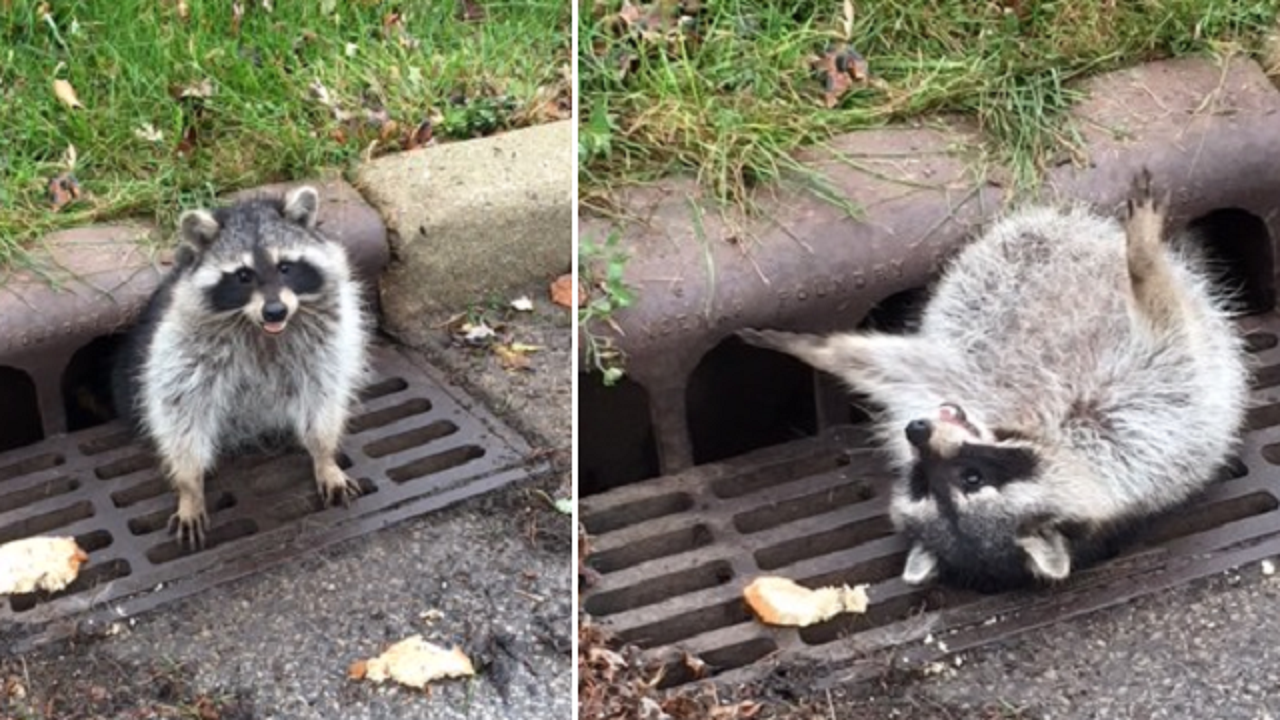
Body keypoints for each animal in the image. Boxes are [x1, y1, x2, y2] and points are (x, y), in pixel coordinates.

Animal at [111, 186, 372, 549]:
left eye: (286, 267)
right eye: (243, 276)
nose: (275, 311)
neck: (260, 328)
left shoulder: (324, 344)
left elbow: (322, 396)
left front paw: (324, 456)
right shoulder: (180, 348)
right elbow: (180, 413)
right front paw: (189, 485)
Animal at [738, 170, 1250, 591]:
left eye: (971, 477)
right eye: (926, 484)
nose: (916, 431)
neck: (1032, 427)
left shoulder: (1134, 419)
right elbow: (1167, 332)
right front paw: (1142, 258)